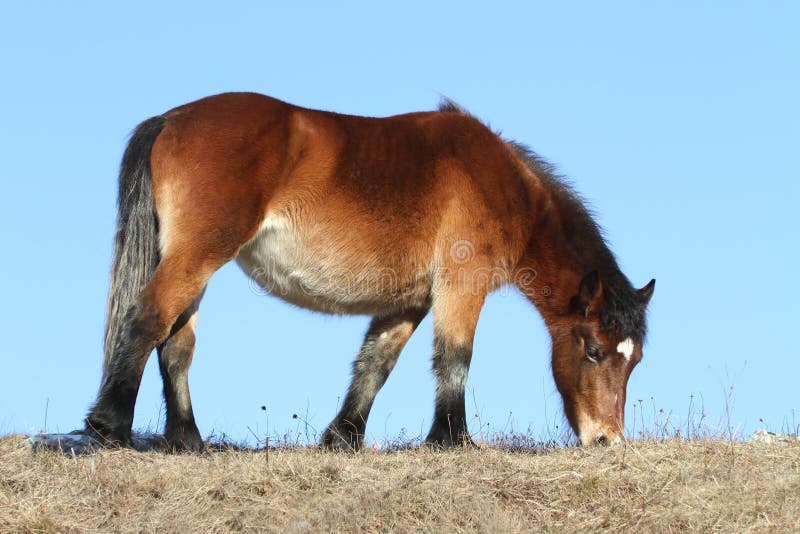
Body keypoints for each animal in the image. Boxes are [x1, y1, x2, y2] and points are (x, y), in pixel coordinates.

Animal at [85, 92, 654, 452]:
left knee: (176, 345)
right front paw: (452, 440)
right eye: (594, 350)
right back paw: (109, 425)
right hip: (198, 255)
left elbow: (375, 364)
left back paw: (188, 440)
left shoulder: (409, 301)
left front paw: (343, 438)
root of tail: (171, 118)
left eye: (635, 360)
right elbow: (455, 358)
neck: (503, 185)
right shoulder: (461, 287)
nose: (608, 440)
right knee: (148, 318)